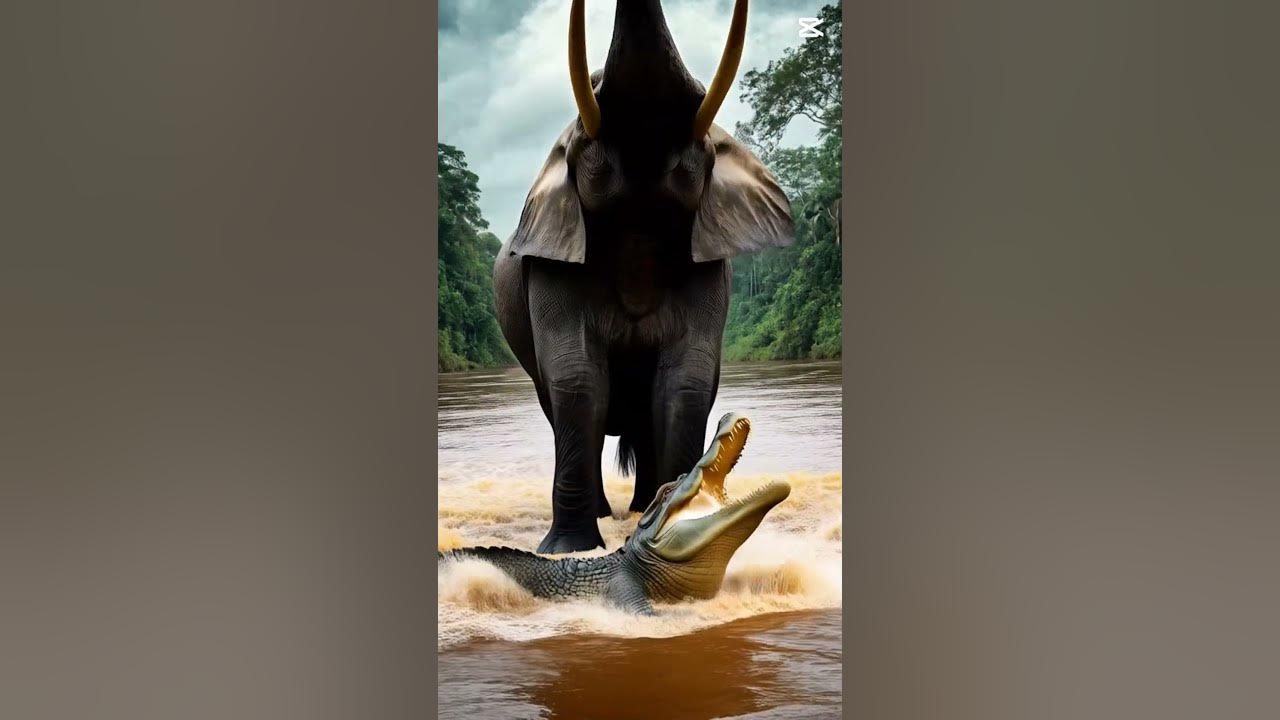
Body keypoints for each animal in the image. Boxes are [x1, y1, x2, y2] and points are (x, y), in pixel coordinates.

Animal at [493, 0, 794, 553]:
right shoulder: (551, 264)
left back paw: (636, 510)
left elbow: (685, 379)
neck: (637, 221)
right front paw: (570, 550)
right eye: (581, 129)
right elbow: (577, 378)